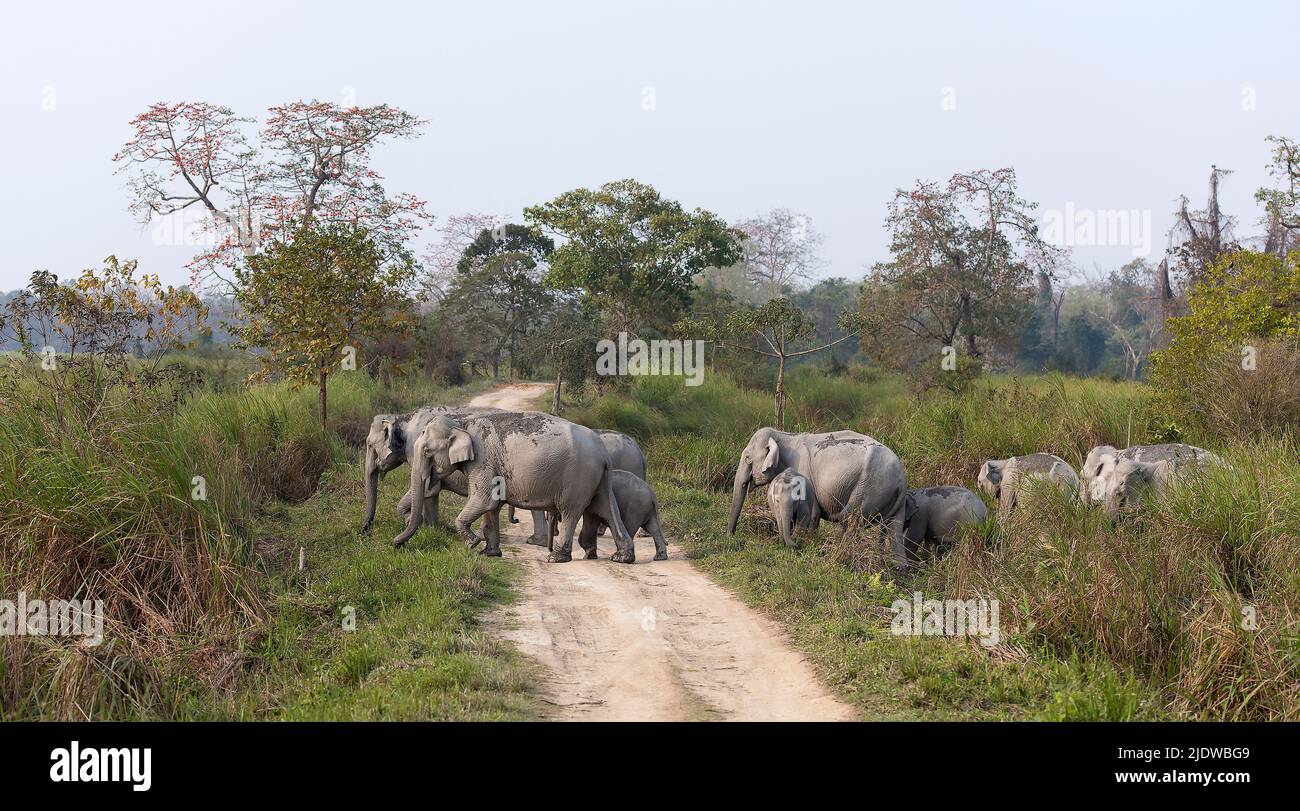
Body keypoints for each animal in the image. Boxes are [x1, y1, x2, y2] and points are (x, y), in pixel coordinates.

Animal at [392, 411, 637, 563]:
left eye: (427, 451)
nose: (395, 545)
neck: (462, 423)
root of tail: (603, 452)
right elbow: (491, 507)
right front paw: (489, 553)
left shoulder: (483, 460)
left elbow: (484, 499)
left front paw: (472, 544)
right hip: (598, 479)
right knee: (606, 508)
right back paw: (622, 558)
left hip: (577, 478)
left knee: (570, 512)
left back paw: (555, 558)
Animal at [728, 427, 908, 568]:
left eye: (747, 458)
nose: (732, 535)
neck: (784, 435)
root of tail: (901, 478)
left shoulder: (804, 474)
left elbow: (813, 512)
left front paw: (805, 543)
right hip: (894, 501)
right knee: (895, 530)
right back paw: (898, 569)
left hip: (869, 489)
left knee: (852, 521)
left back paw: (841, 559)